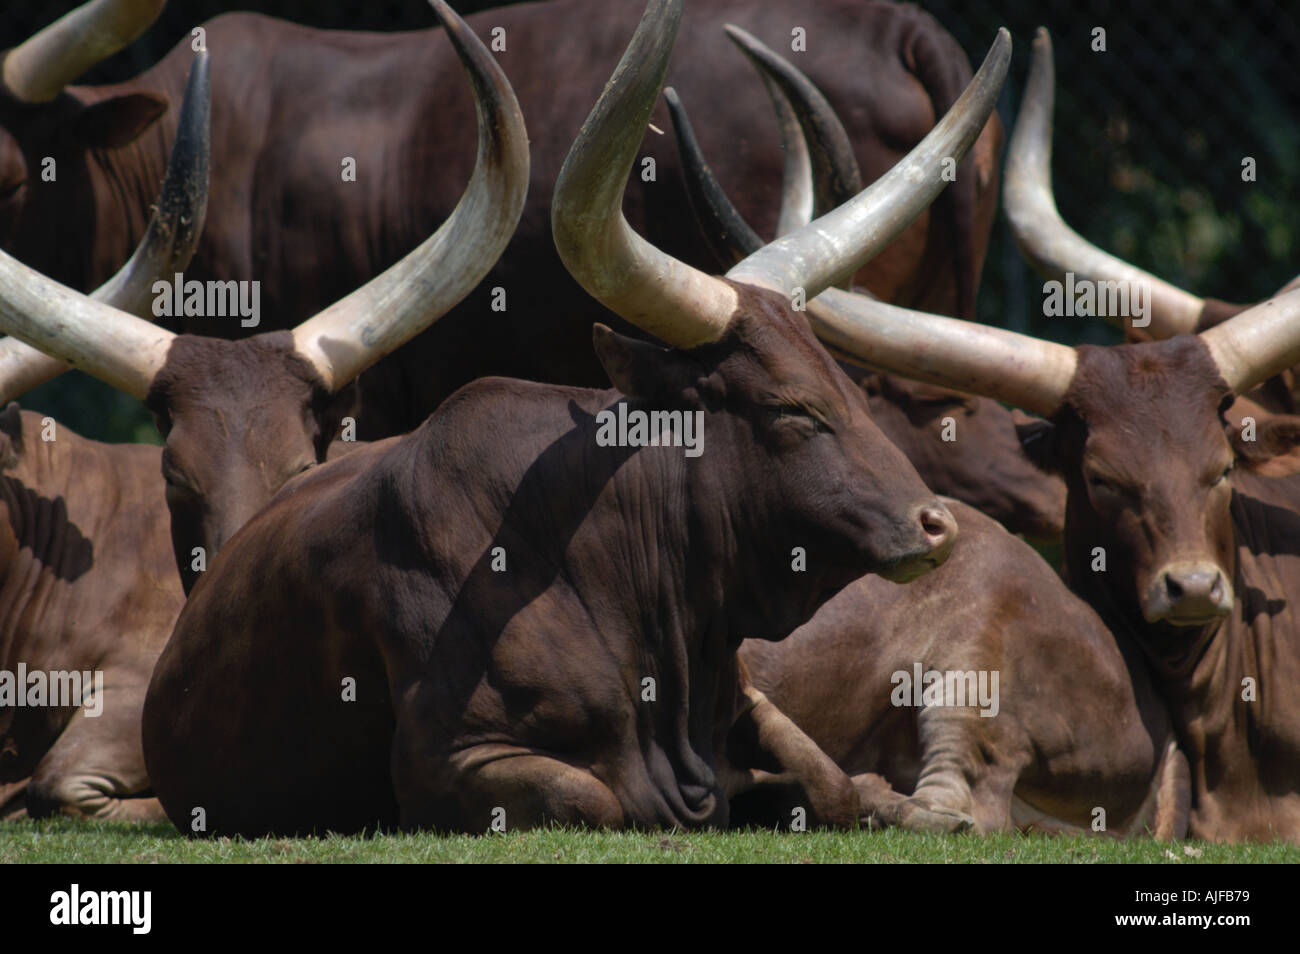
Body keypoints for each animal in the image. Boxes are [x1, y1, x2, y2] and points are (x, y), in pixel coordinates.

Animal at [139, 0, 1009, 837]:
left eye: (850, 389)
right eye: (790, 406)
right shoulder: (448, 764)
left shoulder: (745, 706)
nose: (935, 525)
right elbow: (597, 798)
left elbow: (826, 782)